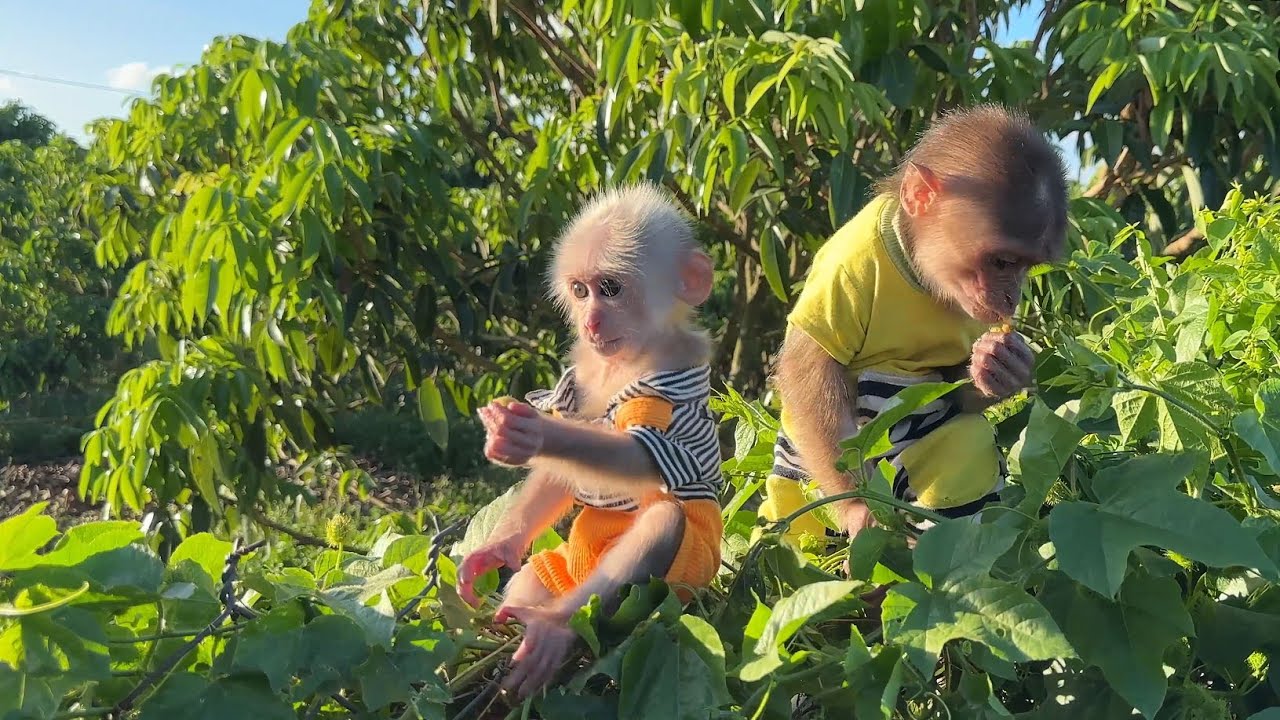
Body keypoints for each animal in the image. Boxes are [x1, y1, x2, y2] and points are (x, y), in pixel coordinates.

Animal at [456, 183, 724, 699]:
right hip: (558, 569)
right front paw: (494, 551)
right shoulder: (580, 374)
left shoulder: (671, 379)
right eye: (580, 292)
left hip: (684, 580)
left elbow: (643, 455)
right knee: (531, 582)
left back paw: (556, 628)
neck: (624, 360)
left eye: (612, 290)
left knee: (662, 523)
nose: (591, 321)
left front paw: (537, 433)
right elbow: (560, 477)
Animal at [758, 104, 1068, 553]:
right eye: (1002, 262)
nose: (1012, 298)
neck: (918, 273)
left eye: (1026, 266)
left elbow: (955, 386)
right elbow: (810, 377)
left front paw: (1002, 368)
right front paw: (858, 507)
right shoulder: (845, 270)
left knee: (961, 442)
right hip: (799, 486)